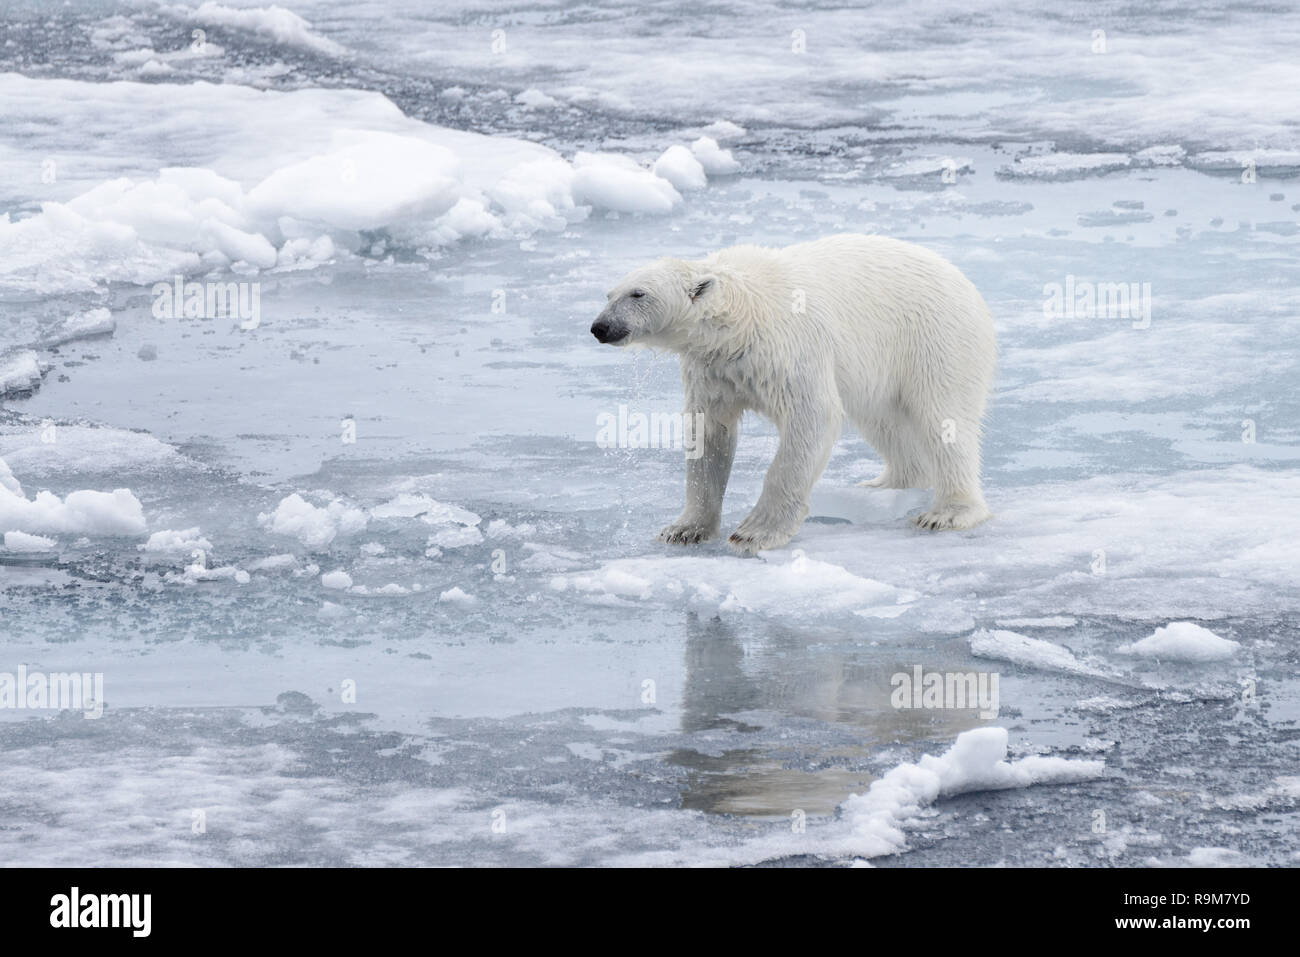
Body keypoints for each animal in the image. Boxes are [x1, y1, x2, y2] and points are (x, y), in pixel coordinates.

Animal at [590, 233, 996, 554]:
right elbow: (709, 433)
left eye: (638, 293)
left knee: (942, 418)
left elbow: (811, 417)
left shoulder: (787, 348)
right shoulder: (712, 368)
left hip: (934, 338)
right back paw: (885, 485)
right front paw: (684, 529)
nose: (600, 327)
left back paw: (946, 513)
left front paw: (755, 532)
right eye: (609, 294)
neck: (739, 319)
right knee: (883, 421)